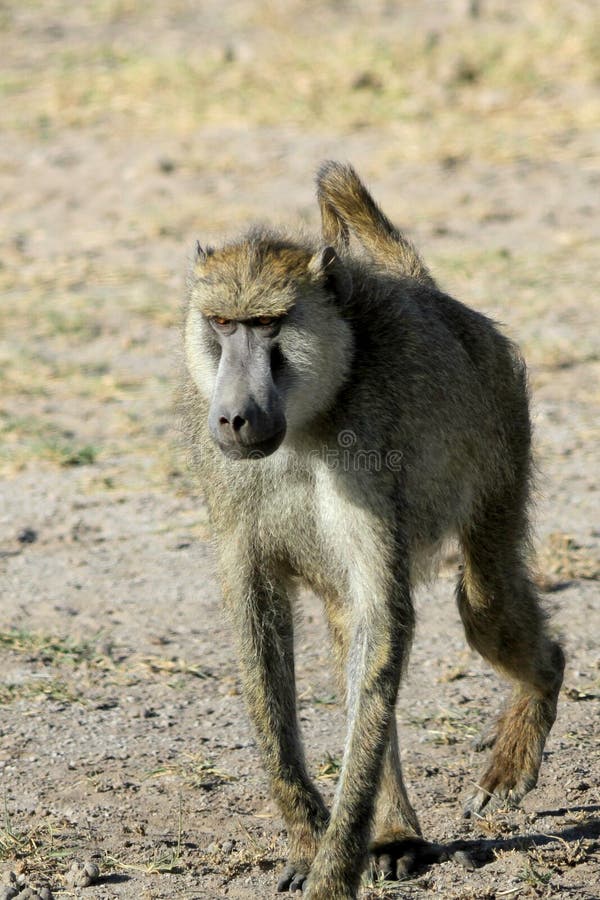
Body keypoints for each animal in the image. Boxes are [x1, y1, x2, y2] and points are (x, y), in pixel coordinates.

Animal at [180, 162, 564, 900]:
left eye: (269, 325)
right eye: (221, 324)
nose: (234, 418)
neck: (308, 421)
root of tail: (437, 298)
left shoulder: (369, 457)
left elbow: (385, 622)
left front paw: (334, 869)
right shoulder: (231, 487)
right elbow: (260, 625)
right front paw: (309, 838)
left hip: (503, 431)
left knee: (484, 607)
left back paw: (526, 719)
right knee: (352, 631)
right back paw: (393, 832)